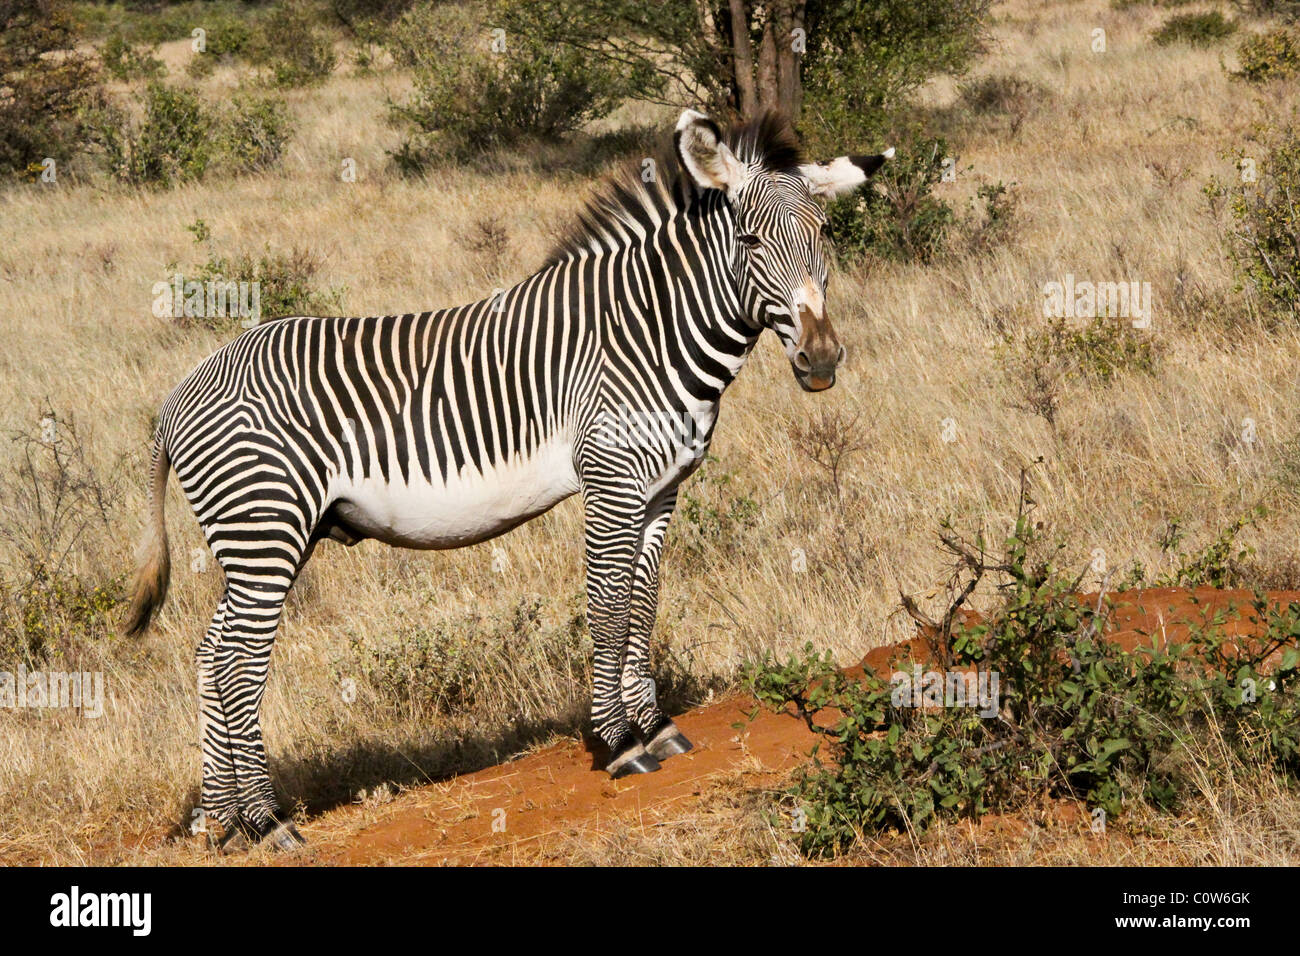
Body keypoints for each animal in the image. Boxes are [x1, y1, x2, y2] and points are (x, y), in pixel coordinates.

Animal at [123, 109, 891, 852]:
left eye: (825, 234)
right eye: (751, 240)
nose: (822, 361)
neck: (650, 329)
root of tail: (180, 394)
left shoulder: (662, 489)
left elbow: (644, 602)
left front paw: (657, 727)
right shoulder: (611, 477)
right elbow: (609, 605)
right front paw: (619, 743)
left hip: (269, 533)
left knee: (209, 652)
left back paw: (222, 821)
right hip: (266, 527)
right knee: (236, 663)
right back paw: (268, 820)